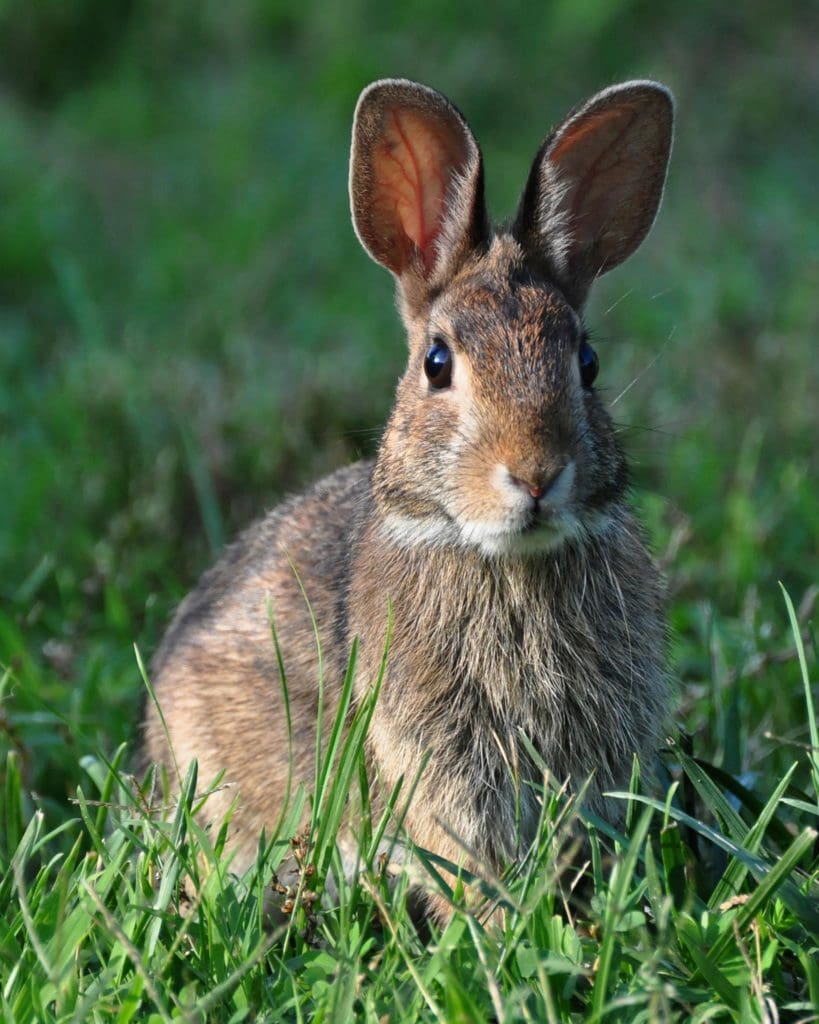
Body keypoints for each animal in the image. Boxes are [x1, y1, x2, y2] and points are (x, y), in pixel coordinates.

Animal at [141, 77, 674, 924]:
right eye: (436, 362)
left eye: (586, 362)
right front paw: (503, 931)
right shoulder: (432, 757)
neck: (499, 559)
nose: (533, 475)